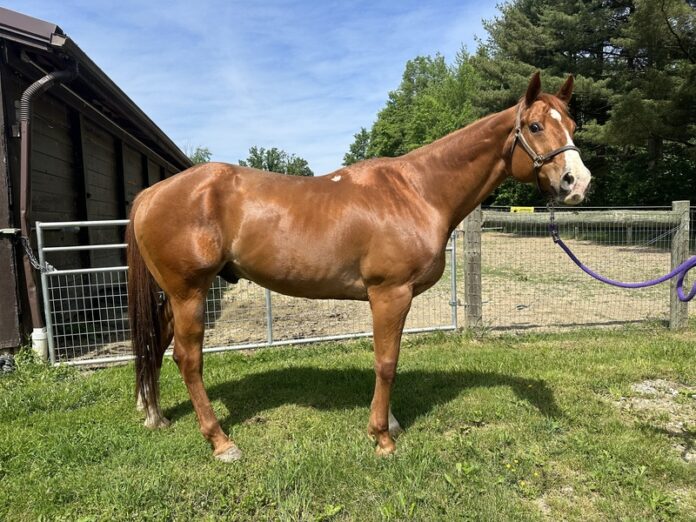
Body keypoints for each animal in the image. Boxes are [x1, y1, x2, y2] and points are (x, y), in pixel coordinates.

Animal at [126, 72, 591, 462]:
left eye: (571, 124)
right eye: (535, 126)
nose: (578, 182)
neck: (417, 192)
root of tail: (151, 193)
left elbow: (390, 358)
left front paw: (391, 423)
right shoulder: (390, 293)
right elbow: (386, 362)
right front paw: (382, 437)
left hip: (175, 294)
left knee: (156, 343)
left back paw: (154, 414)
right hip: (190, 292)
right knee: (187, 358)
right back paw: (221, 442)